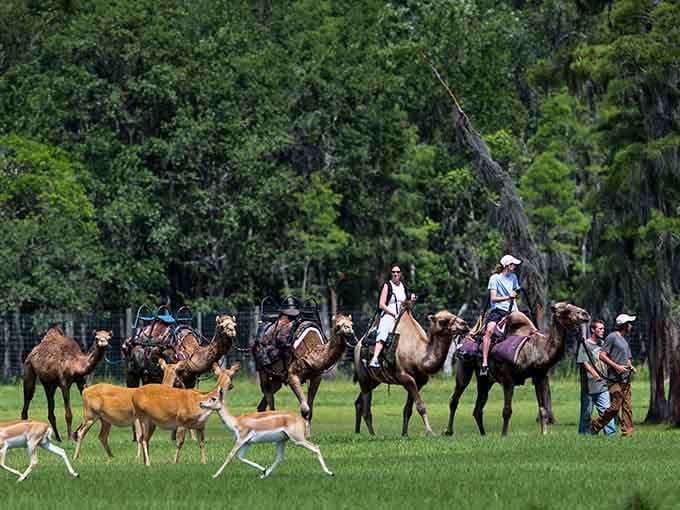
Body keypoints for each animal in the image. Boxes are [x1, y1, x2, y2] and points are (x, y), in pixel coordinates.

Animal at [354, 304, 469, 436]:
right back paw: (373, 435)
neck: (418, 356)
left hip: (374, 380)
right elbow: (420, 406)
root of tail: (357, 346)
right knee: (366, 409)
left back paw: (357, 432)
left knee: (359, 402)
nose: (464, 324)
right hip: (363, 377)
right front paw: (429, 432)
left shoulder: (418, 382)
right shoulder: (406, 378)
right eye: (442, 321)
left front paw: (405, 434)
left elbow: (408, 410)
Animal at [445, 302, 590, 437]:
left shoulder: (540, 376)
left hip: (486, 379)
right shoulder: (507, 378)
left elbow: (543, 409)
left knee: (478, 408)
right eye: (565, 310)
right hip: (465, 366)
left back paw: (483, 434)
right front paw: (503, 435)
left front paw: (544, 434)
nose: (585, 314)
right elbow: (507, 410)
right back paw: (448, 431)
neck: (537, 349)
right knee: (455, 398)